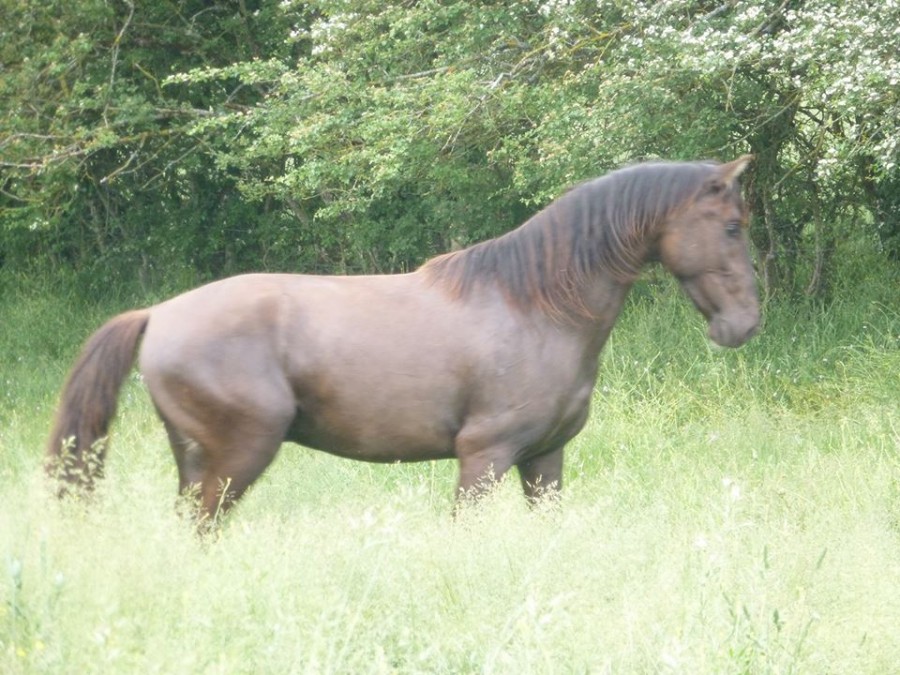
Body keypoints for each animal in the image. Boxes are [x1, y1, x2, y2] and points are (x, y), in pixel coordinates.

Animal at [46, 157, 759, 523]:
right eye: (731, 226)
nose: (745, 324)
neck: (534, 307)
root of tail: (158, 314)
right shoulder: (484, 458)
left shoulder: (544, 459)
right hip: (234, 460)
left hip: (197, 462)